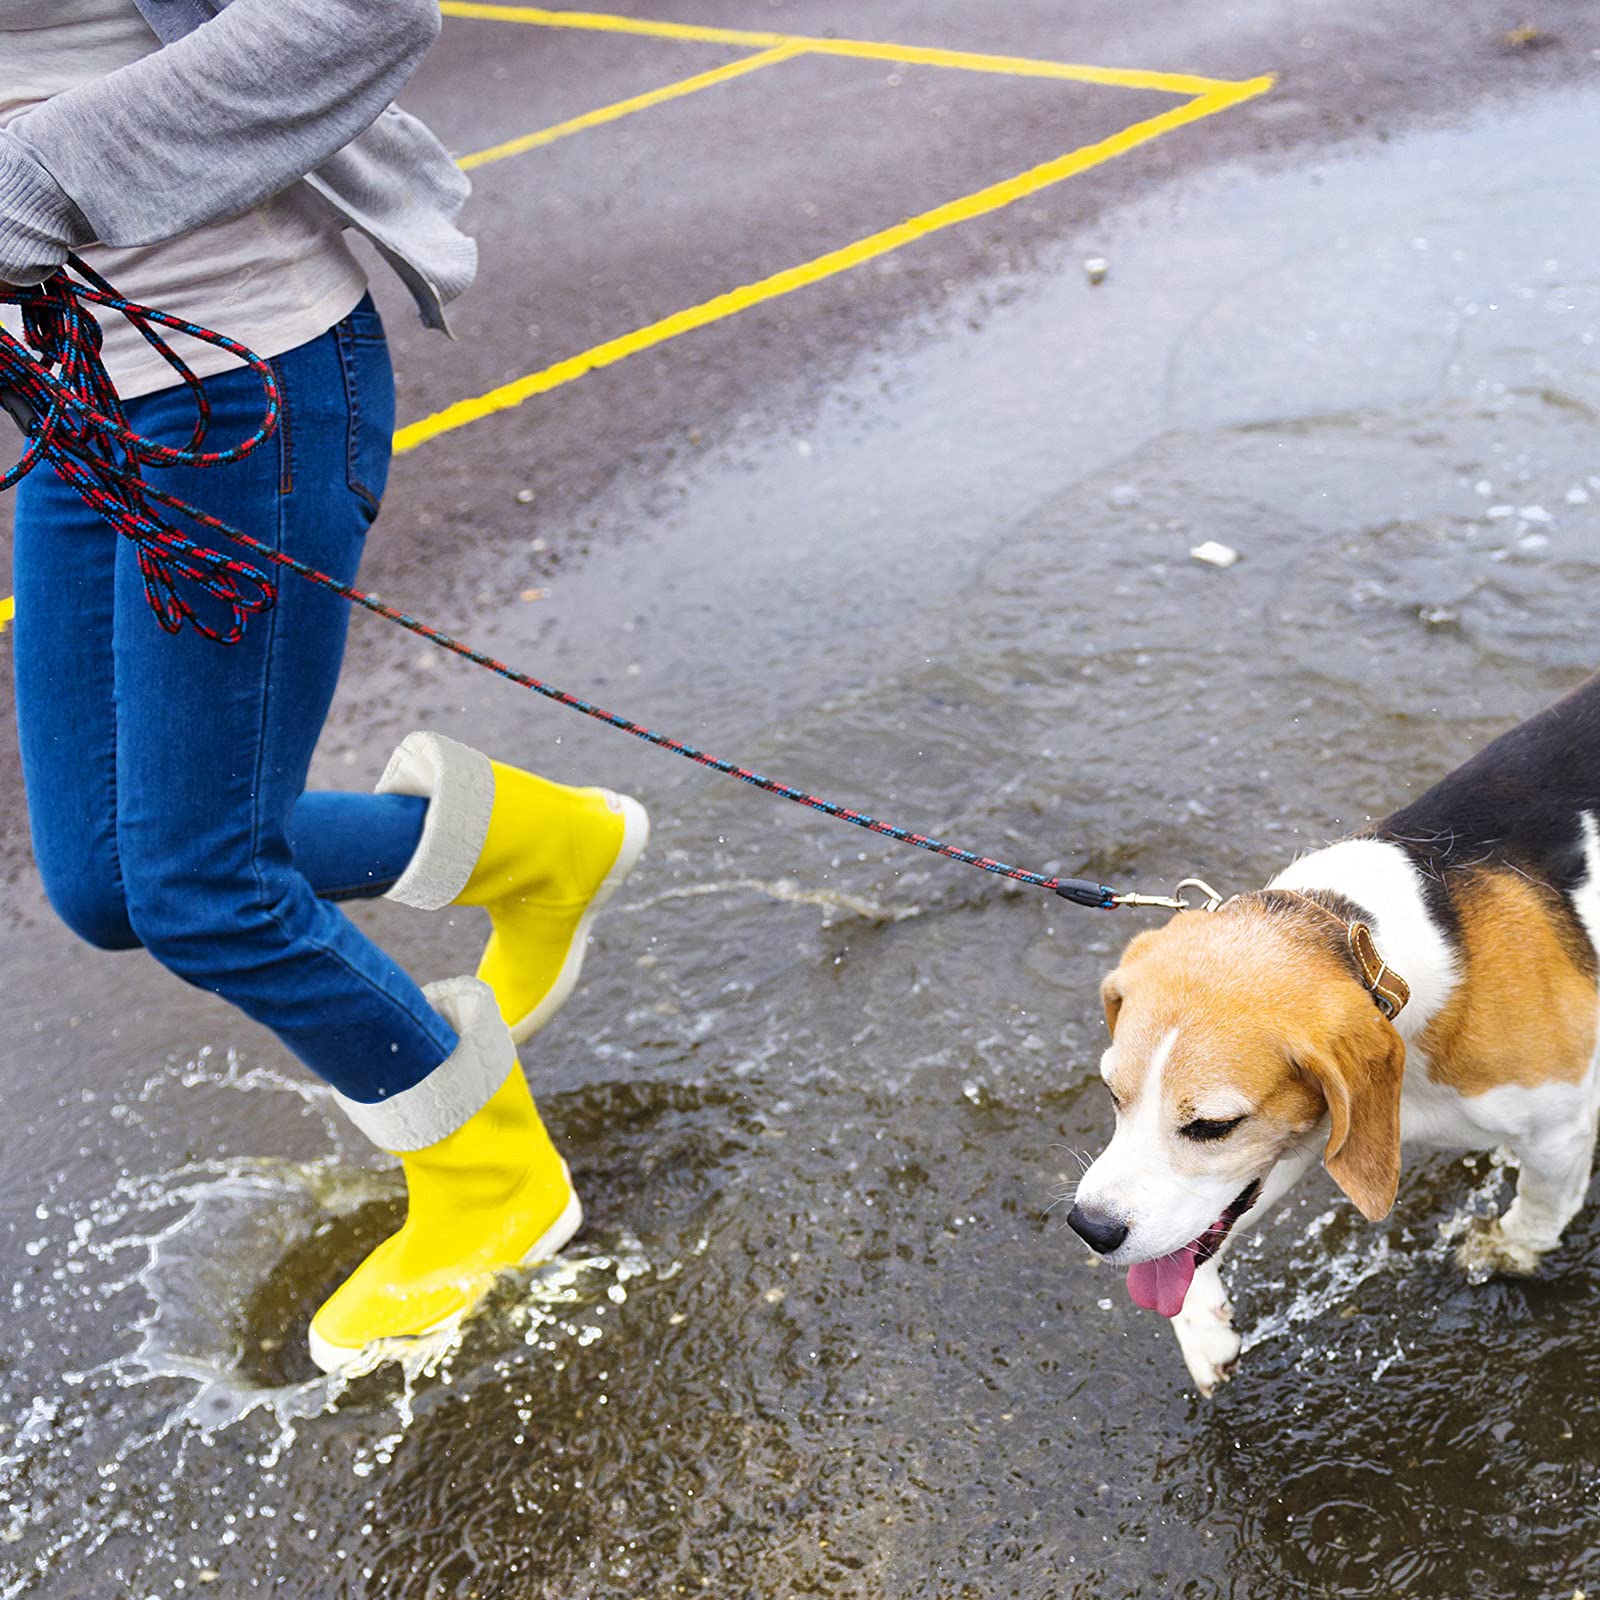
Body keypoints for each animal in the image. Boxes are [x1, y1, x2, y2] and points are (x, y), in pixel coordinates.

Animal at [1068, 668, 1600, 1395]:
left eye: (1211, 1126)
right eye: (1111, 1094)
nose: (1088, 1227)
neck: (1374, 946)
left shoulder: (1559, 1129)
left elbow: (1537, 1213)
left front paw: (1500, 1249)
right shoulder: (1317, 1130)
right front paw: (1202, 1327)